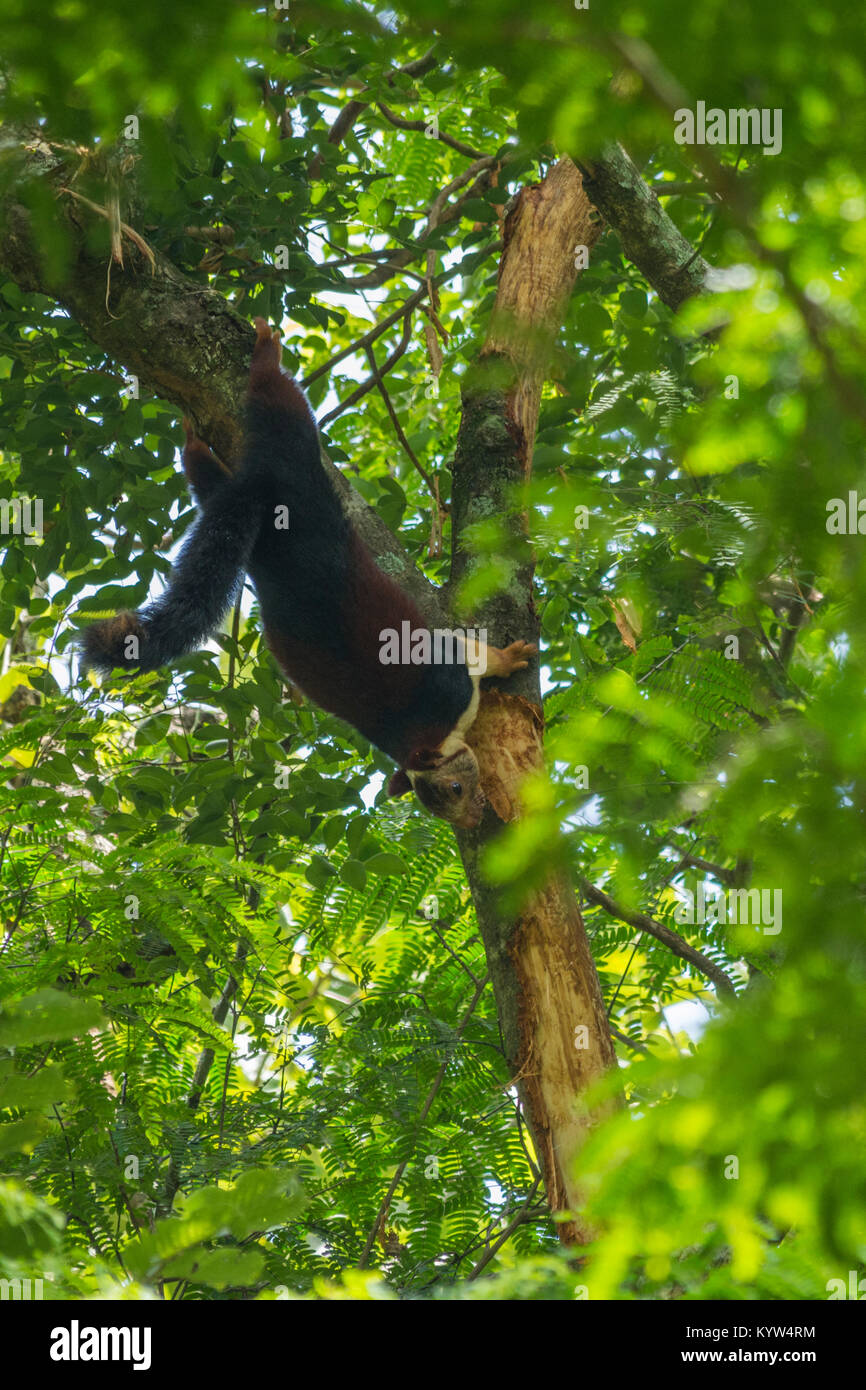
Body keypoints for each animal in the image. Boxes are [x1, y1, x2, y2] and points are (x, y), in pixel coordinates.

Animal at [81, 319, 536, 828]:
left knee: (238, 449)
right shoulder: (450, 689)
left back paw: (218, 414)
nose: (473, 819)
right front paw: (512, 658)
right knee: (270, 415)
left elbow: (473, 655)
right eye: (445, 798)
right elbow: (476, 653)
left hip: (273, 492)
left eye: (456, 787)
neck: (422, 736)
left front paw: (509, 658)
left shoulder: (448, 683)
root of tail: (258, 485)